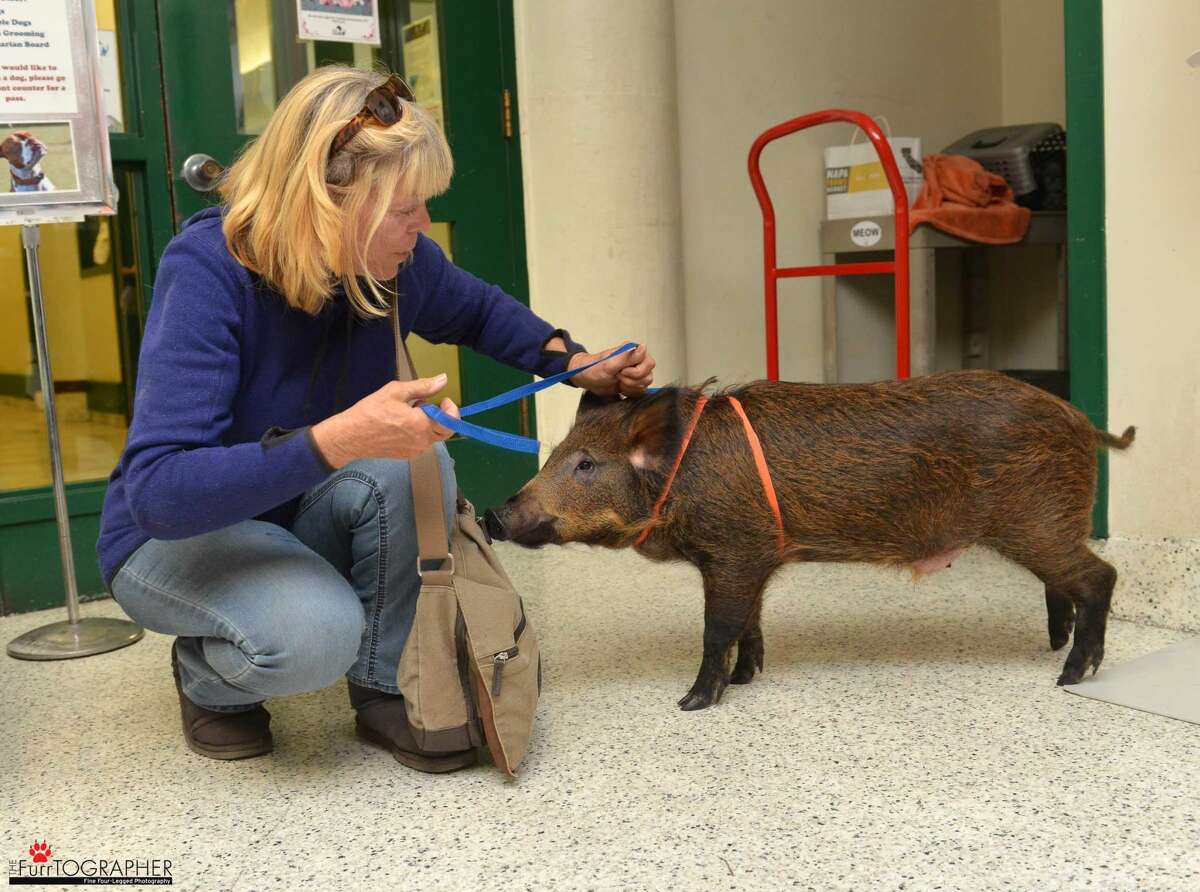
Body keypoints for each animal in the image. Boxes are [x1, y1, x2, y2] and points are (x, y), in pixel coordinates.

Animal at [483, 370, 1136, 711]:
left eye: (586, 465)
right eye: (559, 456)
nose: (494, 513)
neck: (677, 484)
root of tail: (1082, 421)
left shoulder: (736, 550)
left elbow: (718, 626)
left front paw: (692, 703)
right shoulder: (750, 557)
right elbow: (748, 623)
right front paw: (747, 679)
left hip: (1035, 523)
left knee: (1100, 577)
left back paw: (1069, 676)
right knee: (1066, 584)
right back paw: (1055, 648)